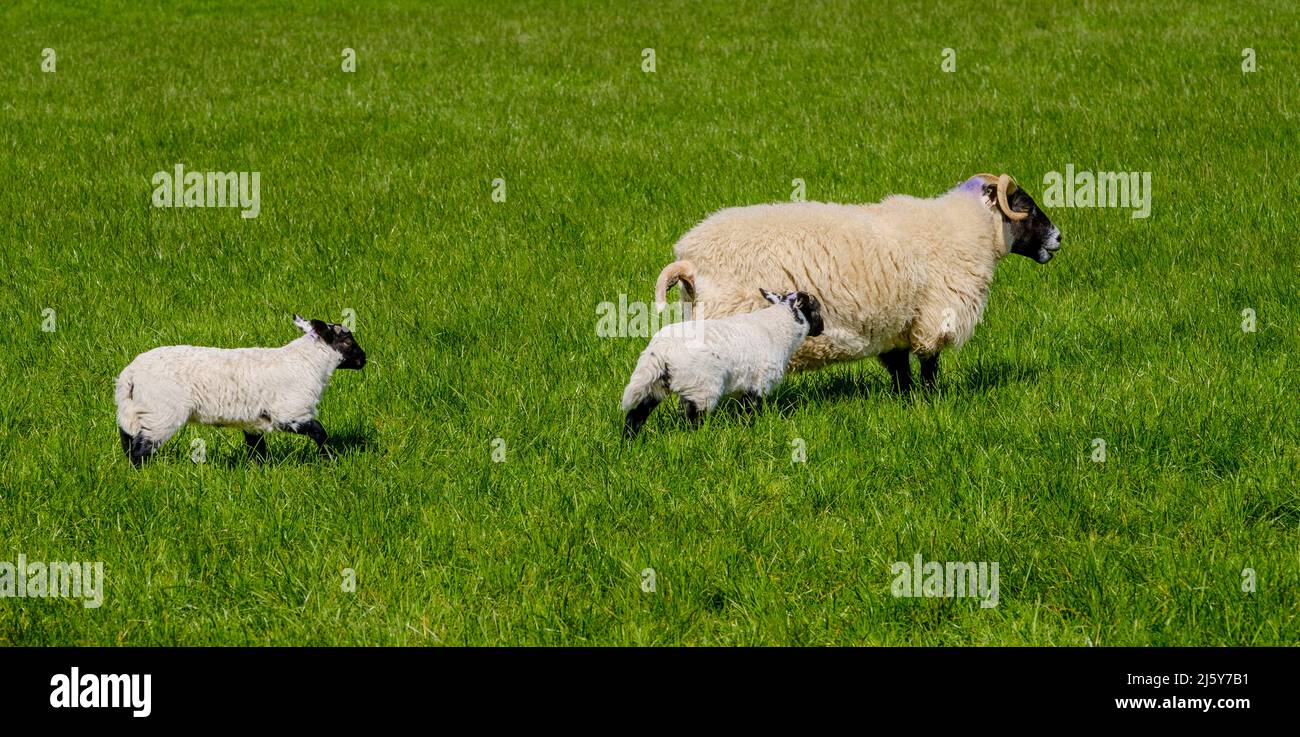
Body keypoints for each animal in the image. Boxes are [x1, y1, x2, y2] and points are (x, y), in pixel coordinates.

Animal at [115, 315, 367, 465]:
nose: (363, 359)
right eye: (347, 341)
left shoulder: (254, 421)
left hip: (135, 409)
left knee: (127, 437)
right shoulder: (291, 413)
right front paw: (331, 460)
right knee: (141, 447)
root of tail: (130, 373)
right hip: (161, 412)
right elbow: (319, 431)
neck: (308, 363)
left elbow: (257, 450)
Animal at [621, 289, 823, 436]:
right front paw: (751, 431)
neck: (781, 326)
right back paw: (697, 440)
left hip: (656, 384)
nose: (822, 328)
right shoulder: (759, 383)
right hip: (703, 388)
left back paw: (629, 443)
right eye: (816, 307)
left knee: (635, 416)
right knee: (692, 420)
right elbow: (751, 412)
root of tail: (660, 350)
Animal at [652, 174, 1062, 391]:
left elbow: (900, 369)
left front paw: (908, 403)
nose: (1058, 238)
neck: (963, 228)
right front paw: (932, 402)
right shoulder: (935, 316)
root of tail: (688, 259)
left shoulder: (895, 324)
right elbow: (929, 365)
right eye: (1025, 204)